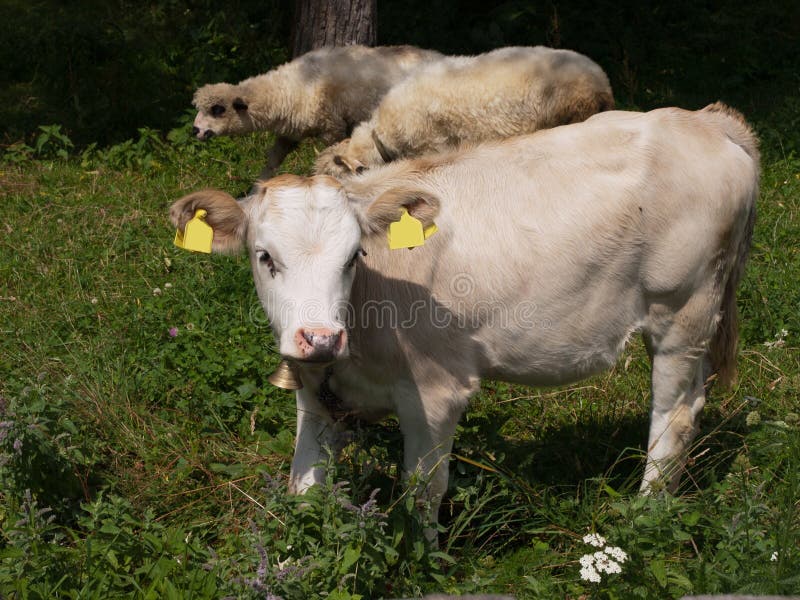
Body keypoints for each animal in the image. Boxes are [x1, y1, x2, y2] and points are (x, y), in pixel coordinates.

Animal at [170, 103, 759, 528]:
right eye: (264, 256)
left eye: (354, 255)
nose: (318, 338)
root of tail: (706, 120)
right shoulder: (315, 396)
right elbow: (305, 490)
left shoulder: (436, 393)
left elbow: (422, 495)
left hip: (683, 311)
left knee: (672, 416)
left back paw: (645, 516)